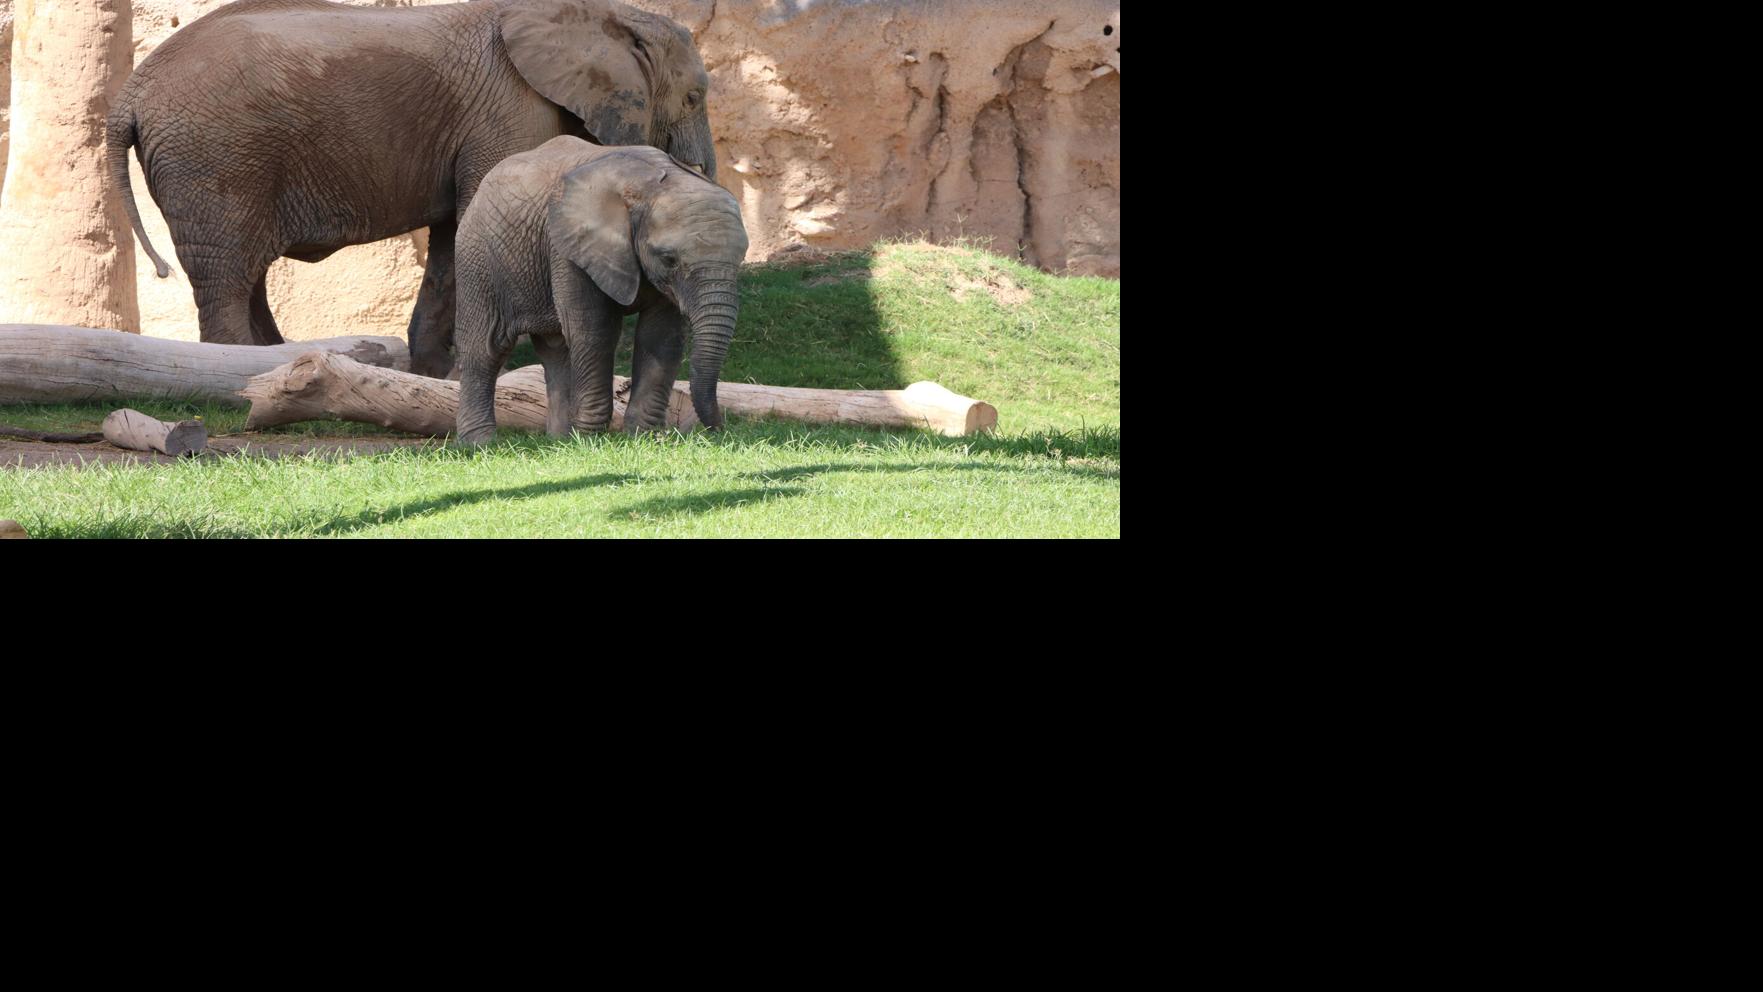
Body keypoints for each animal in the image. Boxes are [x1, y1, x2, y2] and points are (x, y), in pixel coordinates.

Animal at [104, 0, 718, 378]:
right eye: (694, 97)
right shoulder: (511, 108)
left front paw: (435, 375)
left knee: (240, 272)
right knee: (227, 273)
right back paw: (244, 371)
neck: (609, 15)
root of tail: (129, 93)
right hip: (215, 160)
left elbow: (453, 234)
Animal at [452, 136, 747, 444]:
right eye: (669, 259)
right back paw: (480, 444)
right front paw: (590, 439)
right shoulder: (569, 247)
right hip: (477, 254)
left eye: (741, 257)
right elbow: (595, 331)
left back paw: (559, 442)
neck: (649, 188)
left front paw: (642, 437)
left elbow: (660, 336)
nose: (719, 430)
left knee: (555, 350)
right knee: (484, 348)